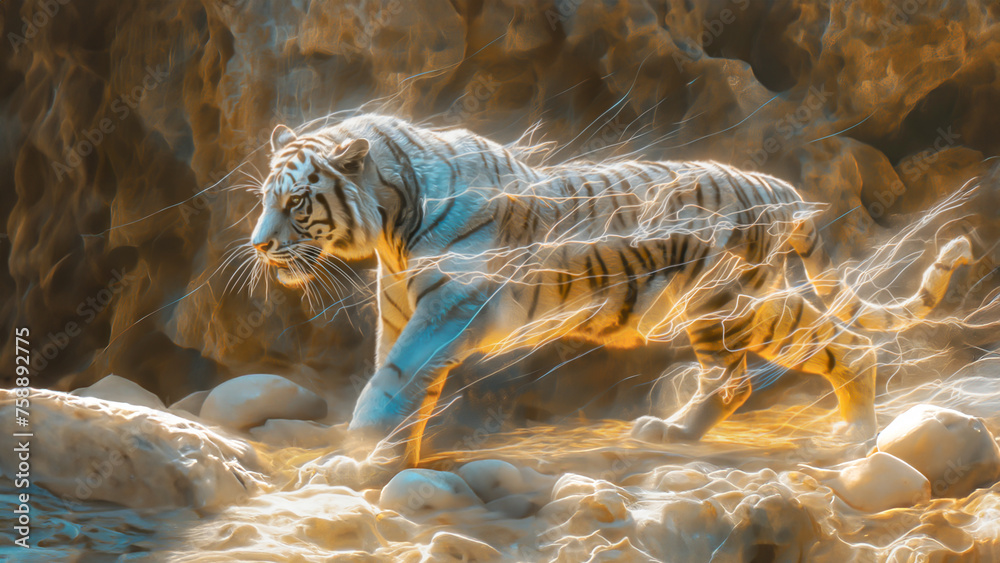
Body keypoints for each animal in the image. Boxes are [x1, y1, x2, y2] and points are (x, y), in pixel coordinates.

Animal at [249, 113, 972, 466]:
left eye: (294, 203)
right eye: (264, 200)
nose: (257, 245)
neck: (394, 225)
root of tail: (781, 188)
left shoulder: (447, 309)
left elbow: (391, 380)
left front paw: (356, 450)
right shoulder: (406, 315)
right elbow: (409, 388)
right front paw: (388, 460)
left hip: (746, 306)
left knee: (846, 348)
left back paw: (857, 436)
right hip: (711, 315)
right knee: (733, 381)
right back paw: (675, 433)